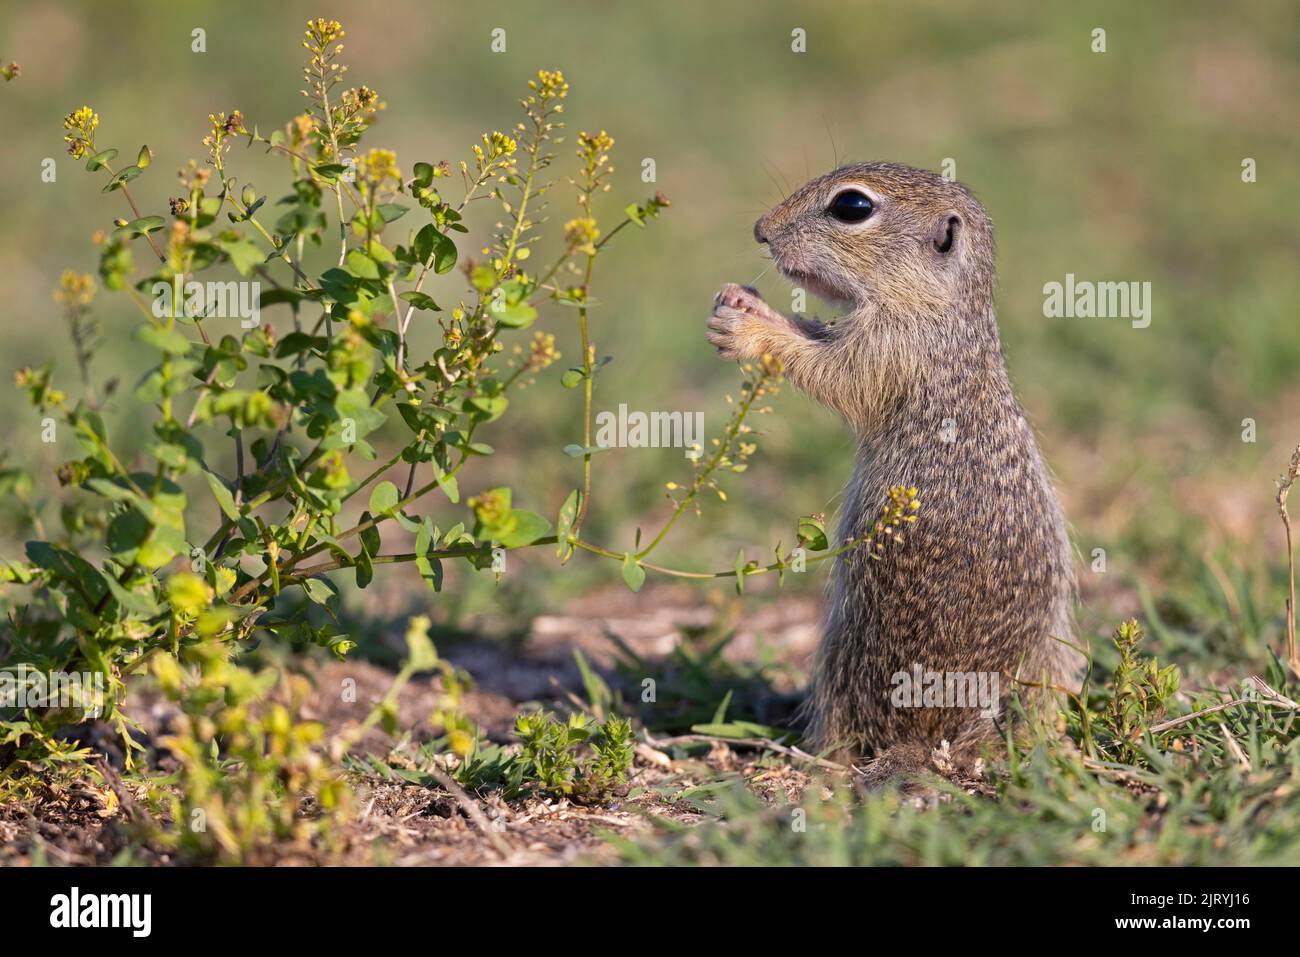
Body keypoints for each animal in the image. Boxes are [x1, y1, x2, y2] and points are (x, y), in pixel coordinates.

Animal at [708, 162, 1082, 780]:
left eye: (852, 207)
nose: (761, 230)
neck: (943, 308)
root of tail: (940, 736)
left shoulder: (890, 349)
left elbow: (833, 372)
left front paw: (749, 331)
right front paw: (746, 302)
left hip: (843, 652)